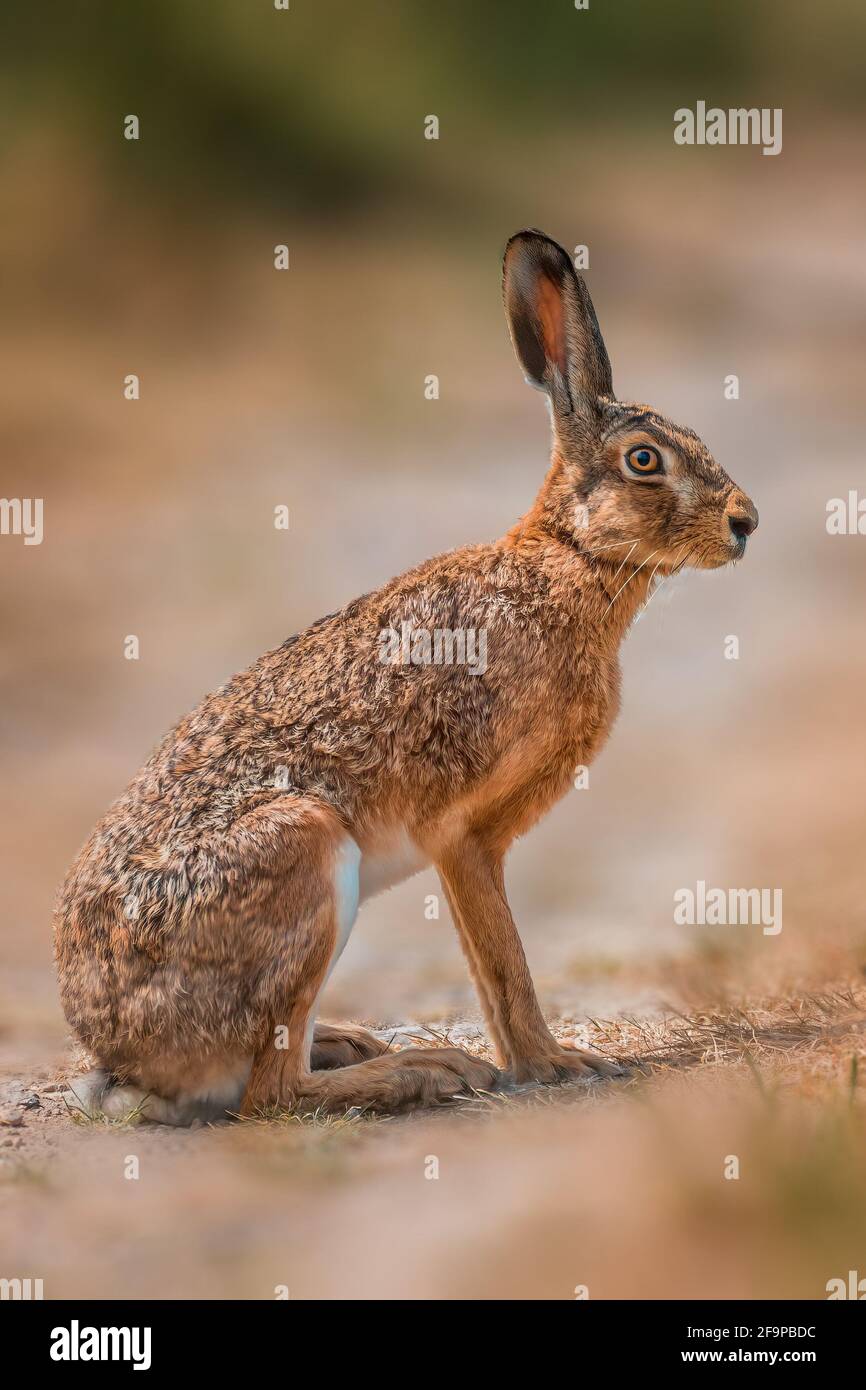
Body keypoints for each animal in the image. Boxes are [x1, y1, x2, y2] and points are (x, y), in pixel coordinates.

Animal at [55, 229, 758, 1125]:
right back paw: (419, 1071)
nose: (745, 523)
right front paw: (556, 1064)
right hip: (303, 847)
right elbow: (502, 959)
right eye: (644, 460)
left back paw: (362, 1045)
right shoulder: (461, 832)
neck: (569, 556)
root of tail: (118, 1060)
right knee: (270, 1096)